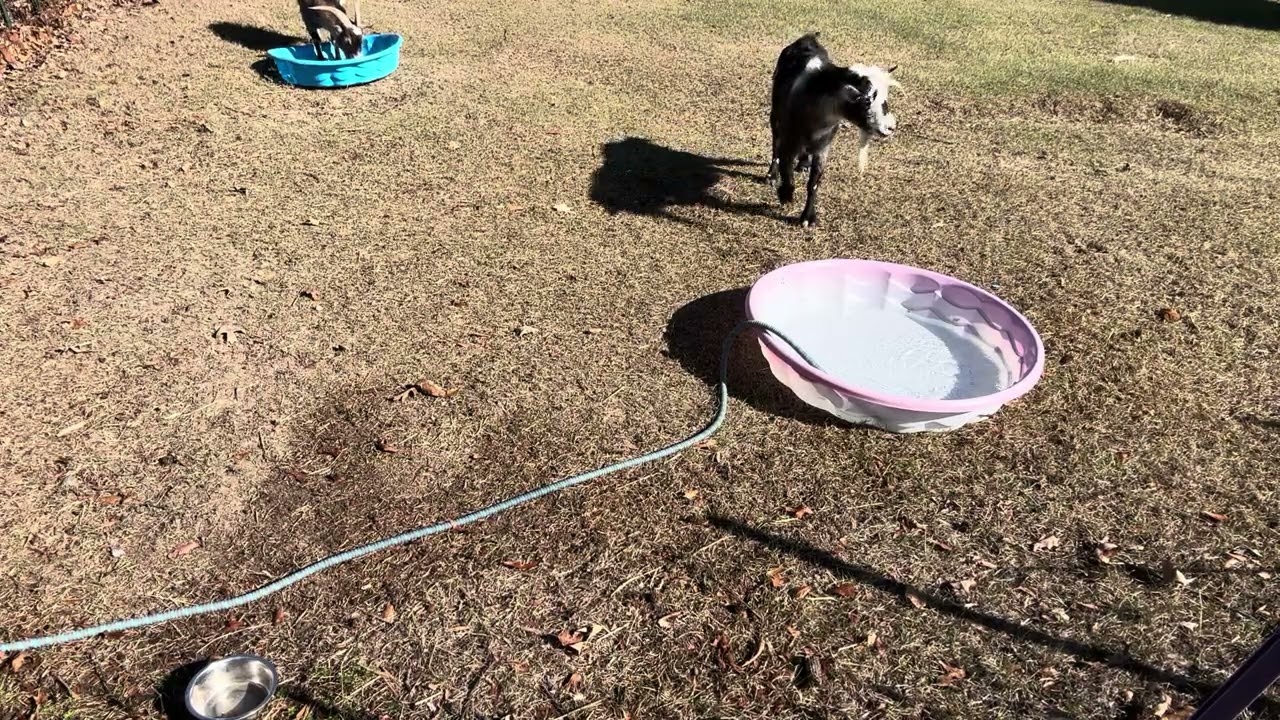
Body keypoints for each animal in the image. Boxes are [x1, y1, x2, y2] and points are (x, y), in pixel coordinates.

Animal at [767, 33, 899, 227]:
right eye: (867, 100)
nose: (890, 127)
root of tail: (808, 38)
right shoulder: (790, 138)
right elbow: (785, 165)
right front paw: (786, 195)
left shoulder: (824, 147)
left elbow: (814, 182)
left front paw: (808, 218)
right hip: (775, 115)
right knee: (775, 145)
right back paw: (771, 175)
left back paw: (804, 163)